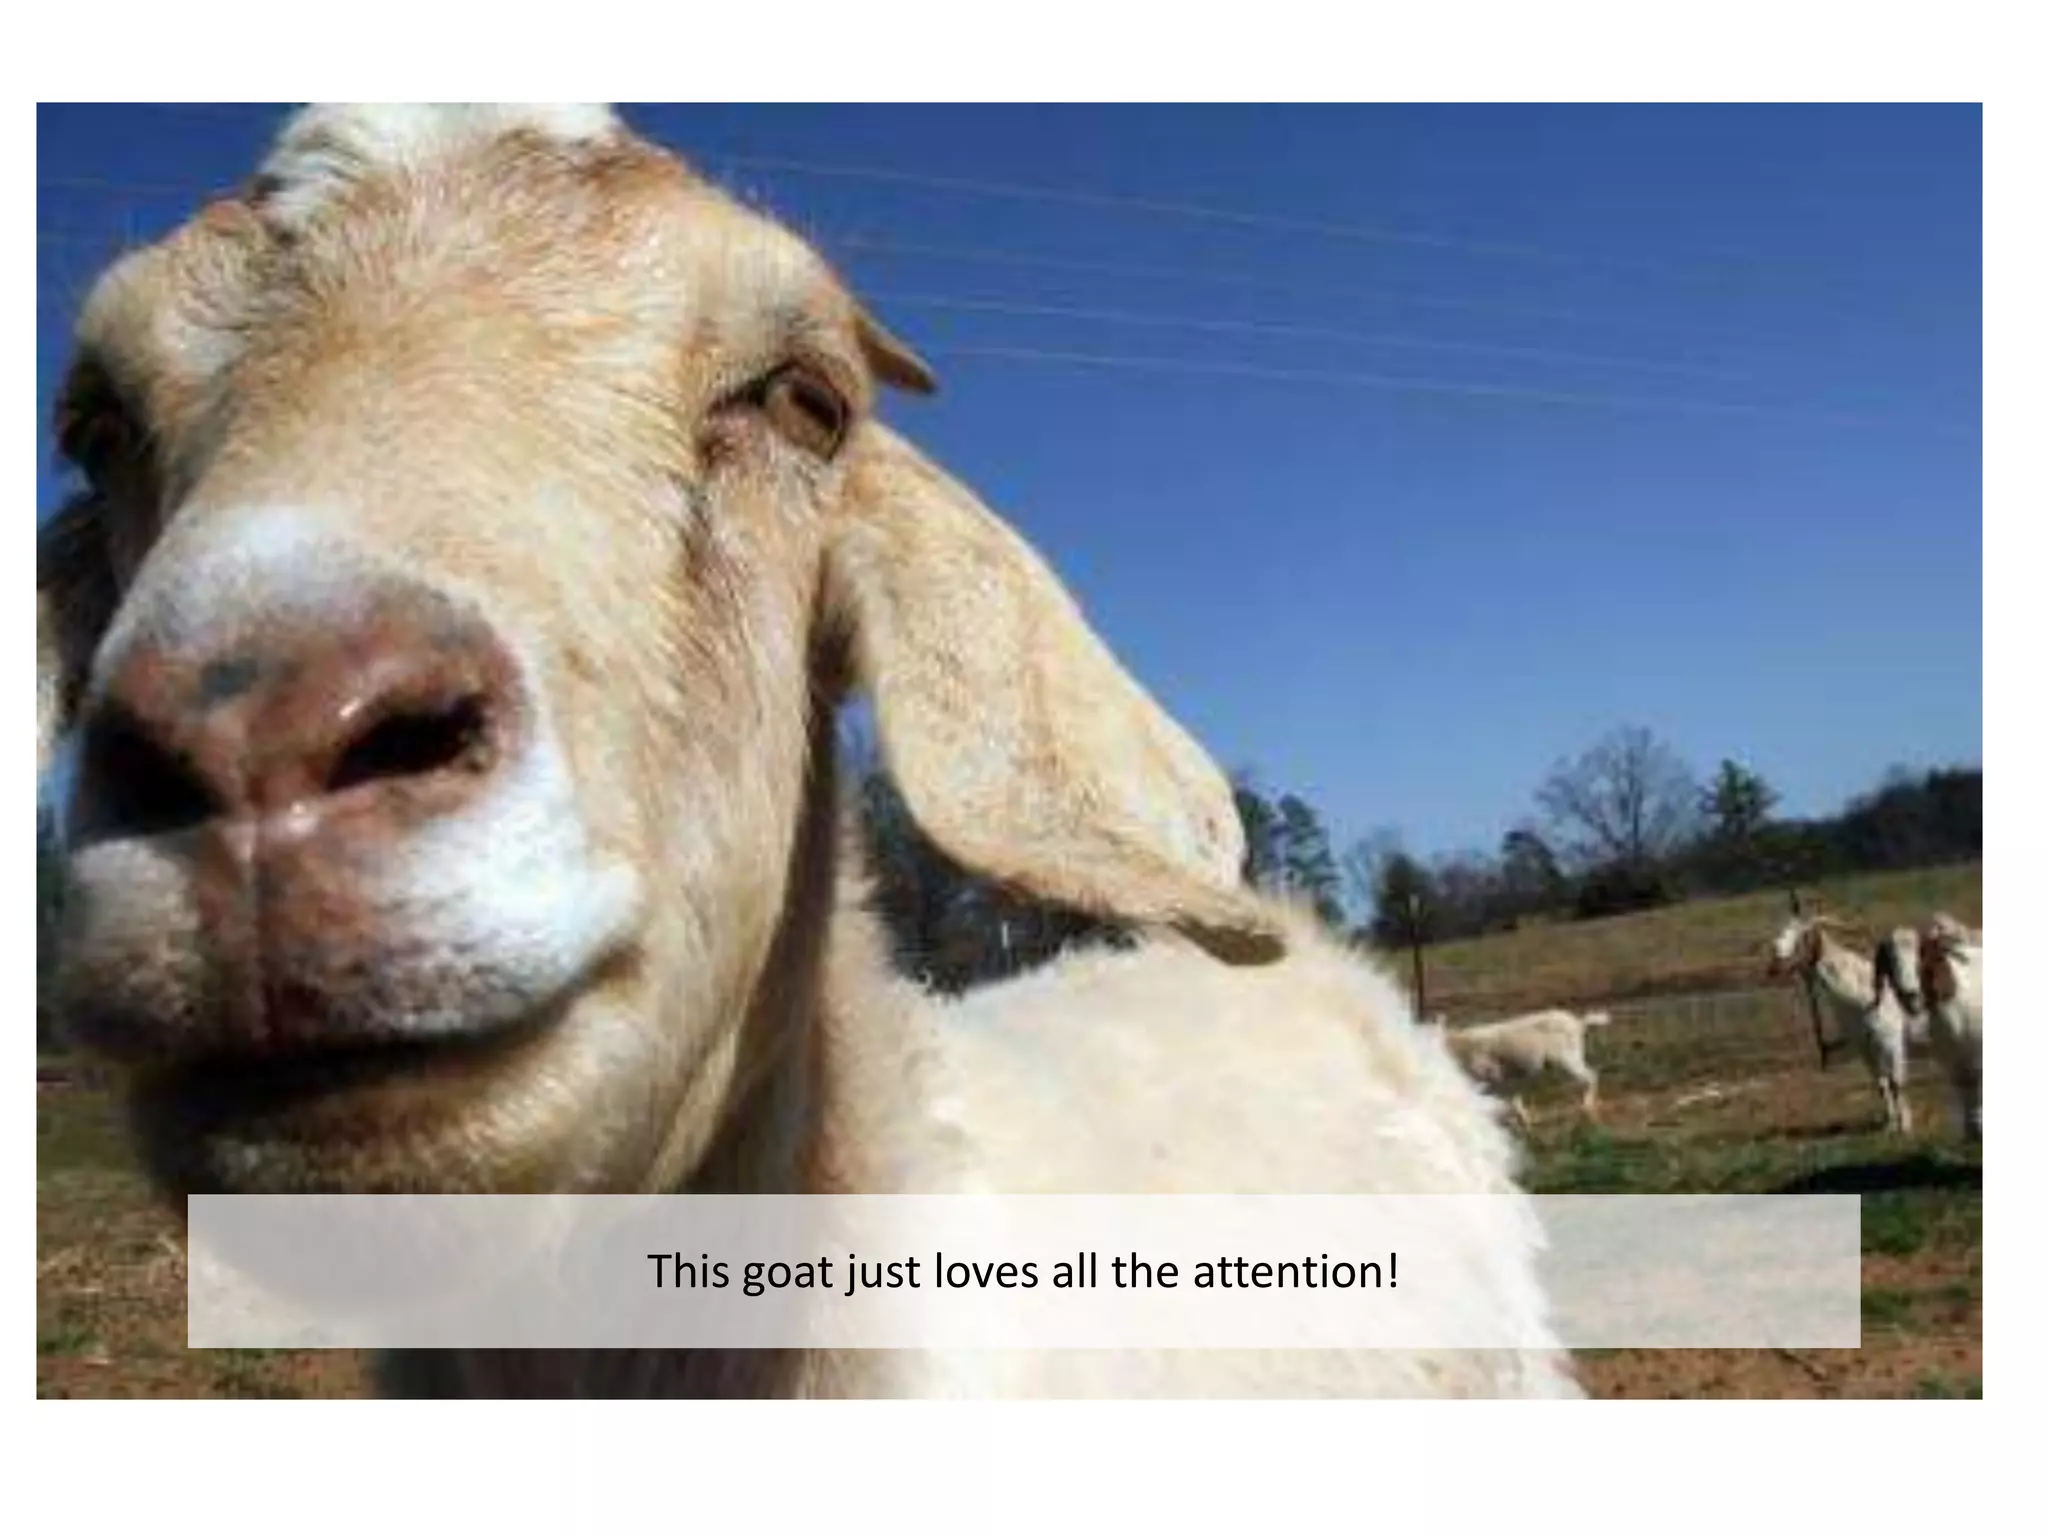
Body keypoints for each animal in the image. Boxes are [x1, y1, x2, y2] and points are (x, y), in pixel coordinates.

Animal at [1431, 1008, 1610, 1132]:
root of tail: (1579, 1023)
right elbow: (1512, 1096)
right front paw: (1523, 1120)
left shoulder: (1492, 1073)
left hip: (1567, 1057)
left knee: (1590, 1076)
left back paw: (1587, 1106)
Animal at [1769, 916, 1911, 1134]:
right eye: (1782, 930)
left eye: (1802, 935)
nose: (1774, 967)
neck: (1863, 995)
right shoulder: (1864, 1046)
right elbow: (1881, 1083)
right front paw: (1890, 1124)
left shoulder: (1891, 1042)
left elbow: (1896, 1082)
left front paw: (1905, 1125)